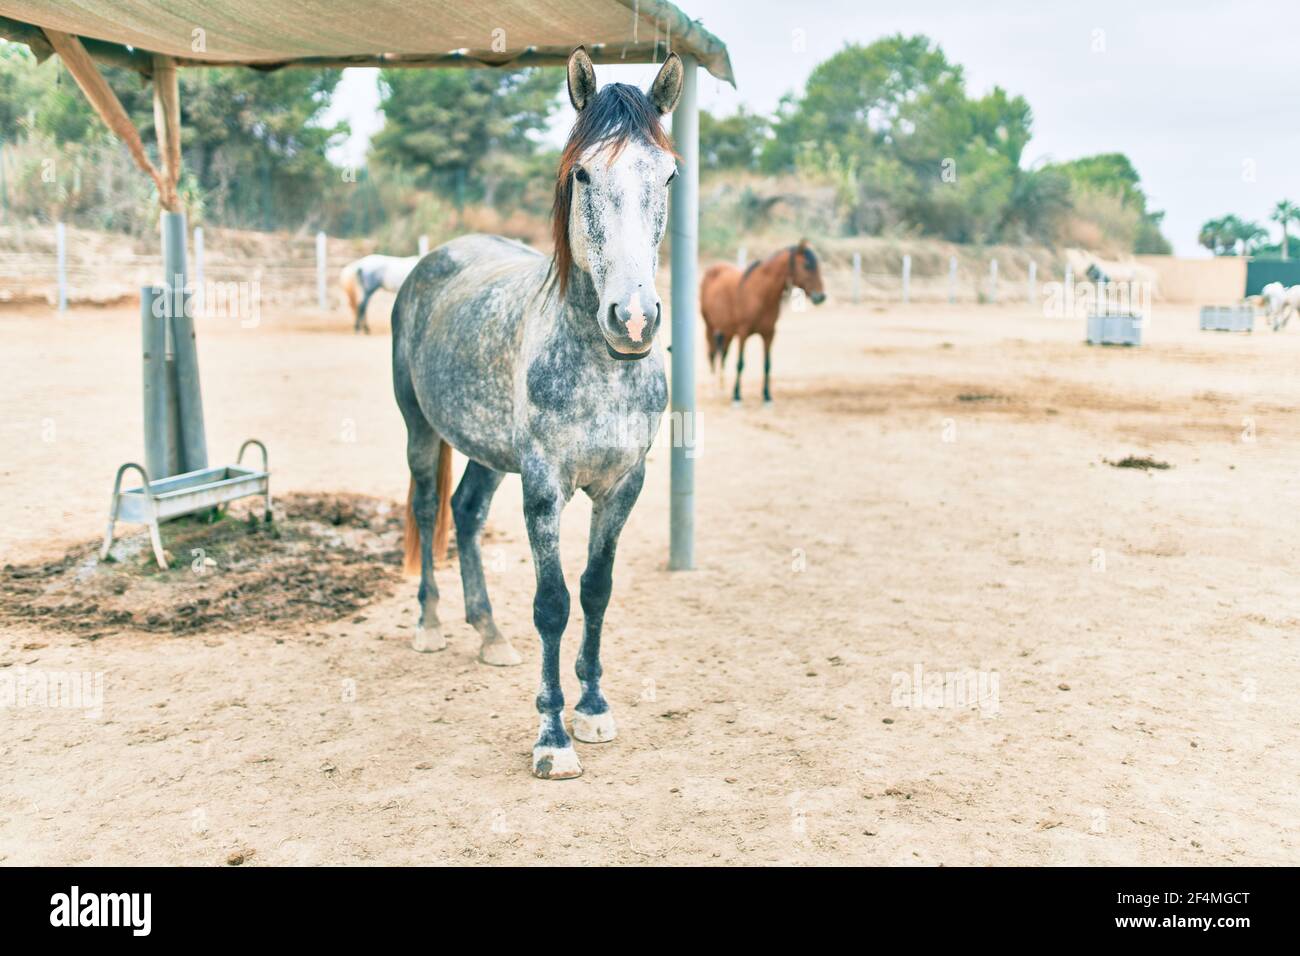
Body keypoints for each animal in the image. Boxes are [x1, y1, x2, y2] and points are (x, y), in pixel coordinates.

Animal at [389, 47, 684, 780]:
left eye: (668, 173)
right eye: (582, 172)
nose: (634, 319)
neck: (601, 369)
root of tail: (434, 259)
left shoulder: (623, 485)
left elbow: (596, 589)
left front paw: (594, 709)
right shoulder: (545, 486)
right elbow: (552, 603)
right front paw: (552, 737)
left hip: (489, 453)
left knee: (466, 512)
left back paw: (489, 633)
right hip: (419, 429)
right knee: (429, 509)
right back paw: (431, 626)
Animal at [699, 241, 826, 404]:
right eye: (806, 265)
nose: (821, 296)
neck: (760, 293)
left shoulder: (769, 334)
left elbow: (767, 365)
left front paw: (766, 396)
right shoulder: (743, 333)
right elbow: (740, 363)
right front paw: (737, 395)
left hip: (728, 332)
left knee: (723, 355)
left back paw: (722, 389)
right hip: (710, 327)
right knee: (713, 354)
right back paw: (714, 390)